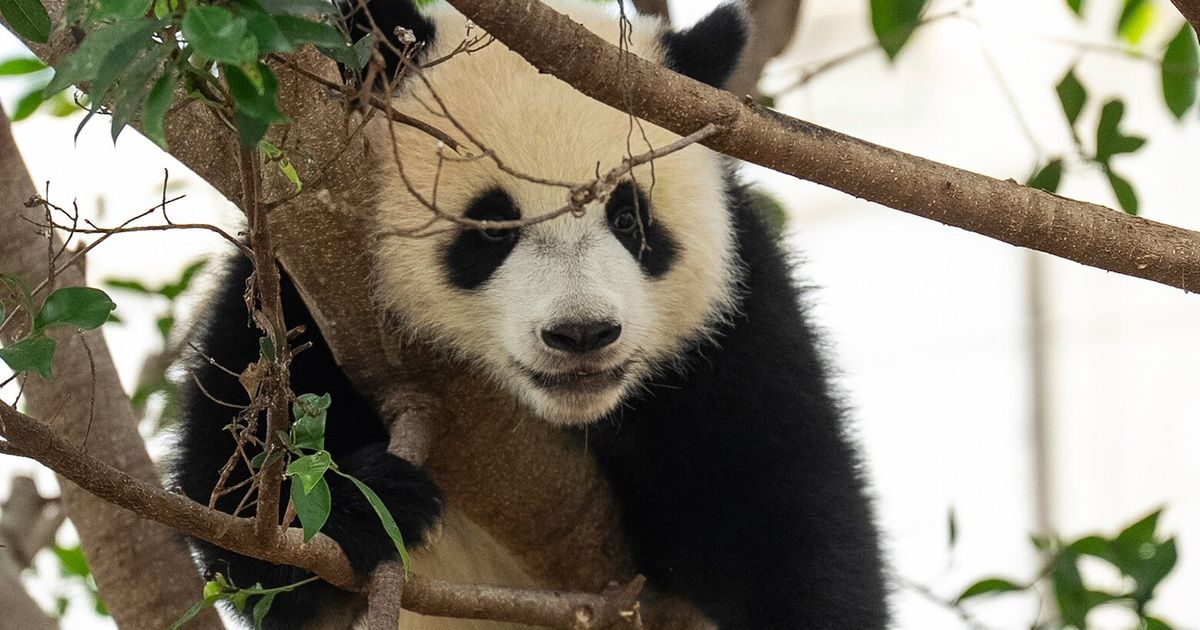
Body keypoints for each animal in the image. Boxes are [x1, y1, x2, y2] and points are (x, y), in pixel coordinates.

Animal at [170, 1, 889, 629]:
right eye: (492, 226)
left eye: (628, 219)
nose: (583, 333)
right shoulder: (302, 284)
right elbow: (236, 506)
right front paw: (366, 500)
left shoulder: (733, 328)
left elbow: (789, 510)